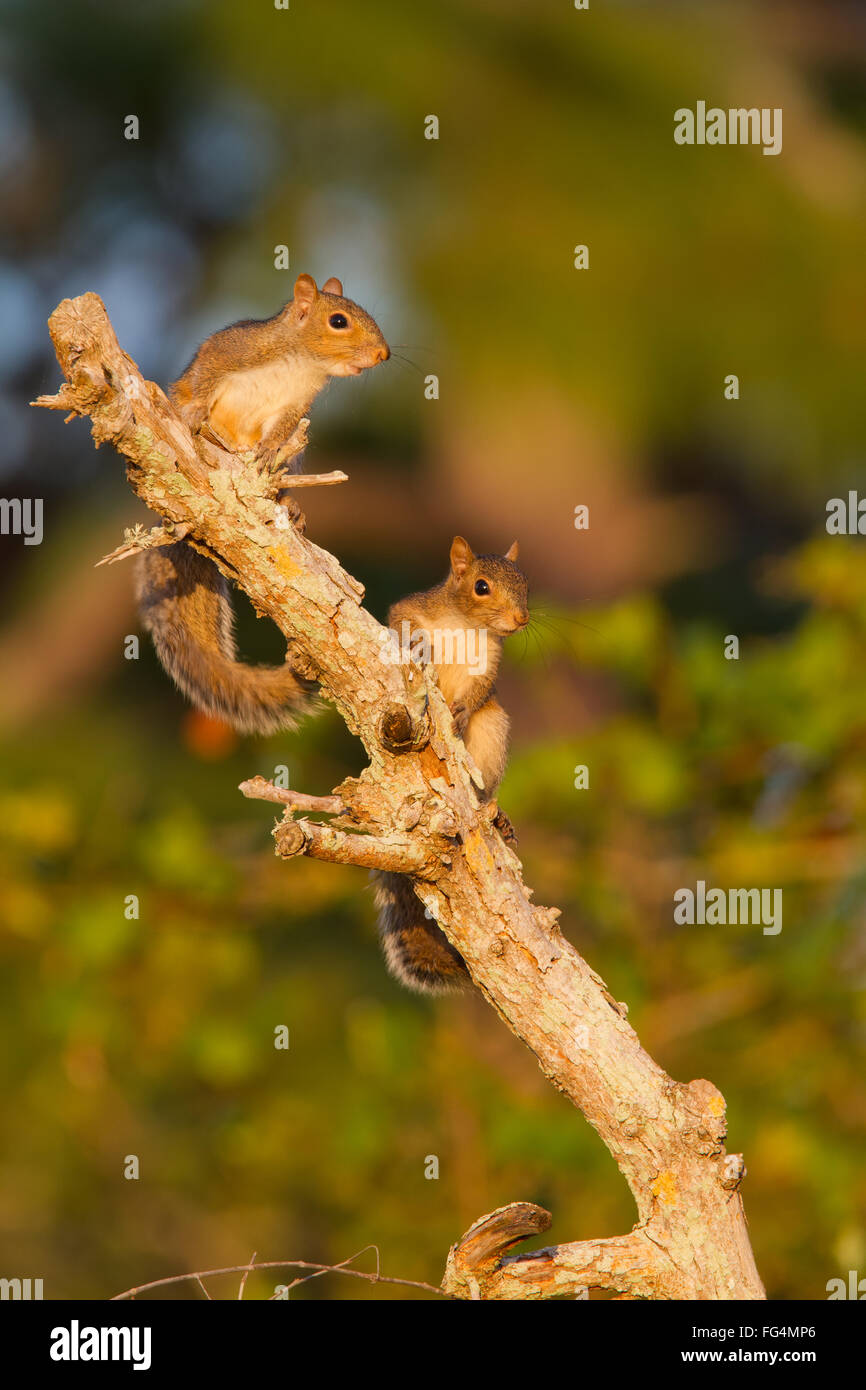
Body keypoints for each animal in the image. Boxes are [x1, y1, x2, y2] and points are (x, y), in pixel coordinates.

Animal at [136, 273, 390, 735]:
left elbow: (279, 433)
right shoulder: (230, 352)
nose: (383, 353)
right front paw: (193, 413)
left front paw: (267, 451)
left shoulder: (296, 408)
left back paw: (289, 504)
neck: (299, 362)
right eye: (338, 321)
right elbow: (204, 379)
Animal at [374, 535, 529, 994]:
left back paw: (495, 815)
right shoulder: (412, 608)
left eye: (526, 582)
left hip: (494, 730)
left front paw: (460, 713)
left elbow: (479, 690)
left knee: (484, 789)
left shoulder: (489, 662)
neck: (467, 626)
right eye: (481, 587)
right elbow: (400, 618)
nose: (522, 618)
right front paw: (419, 643)